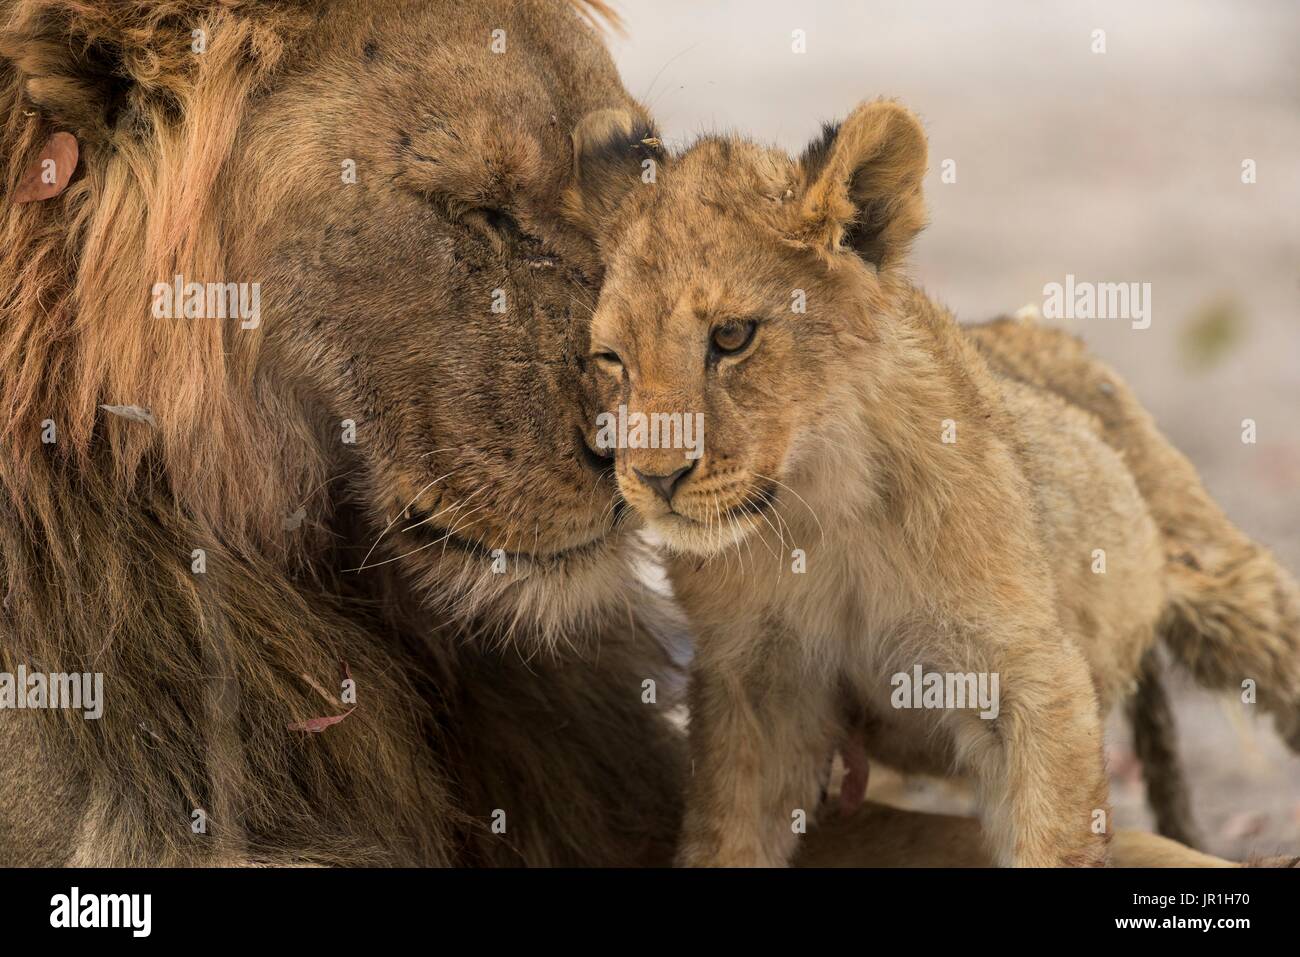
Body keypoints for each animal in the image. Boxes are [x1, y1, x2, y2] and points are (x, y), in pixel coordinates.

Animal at [566, 99, 1300, 866]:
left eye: (732, 336)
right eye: (610, 358)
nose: (655, 478)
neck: (823, 508)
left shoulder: (1030, 676)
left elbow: (1049, 838)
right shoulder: (757, 689)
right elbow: (728, 841)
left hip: (1217, 578)